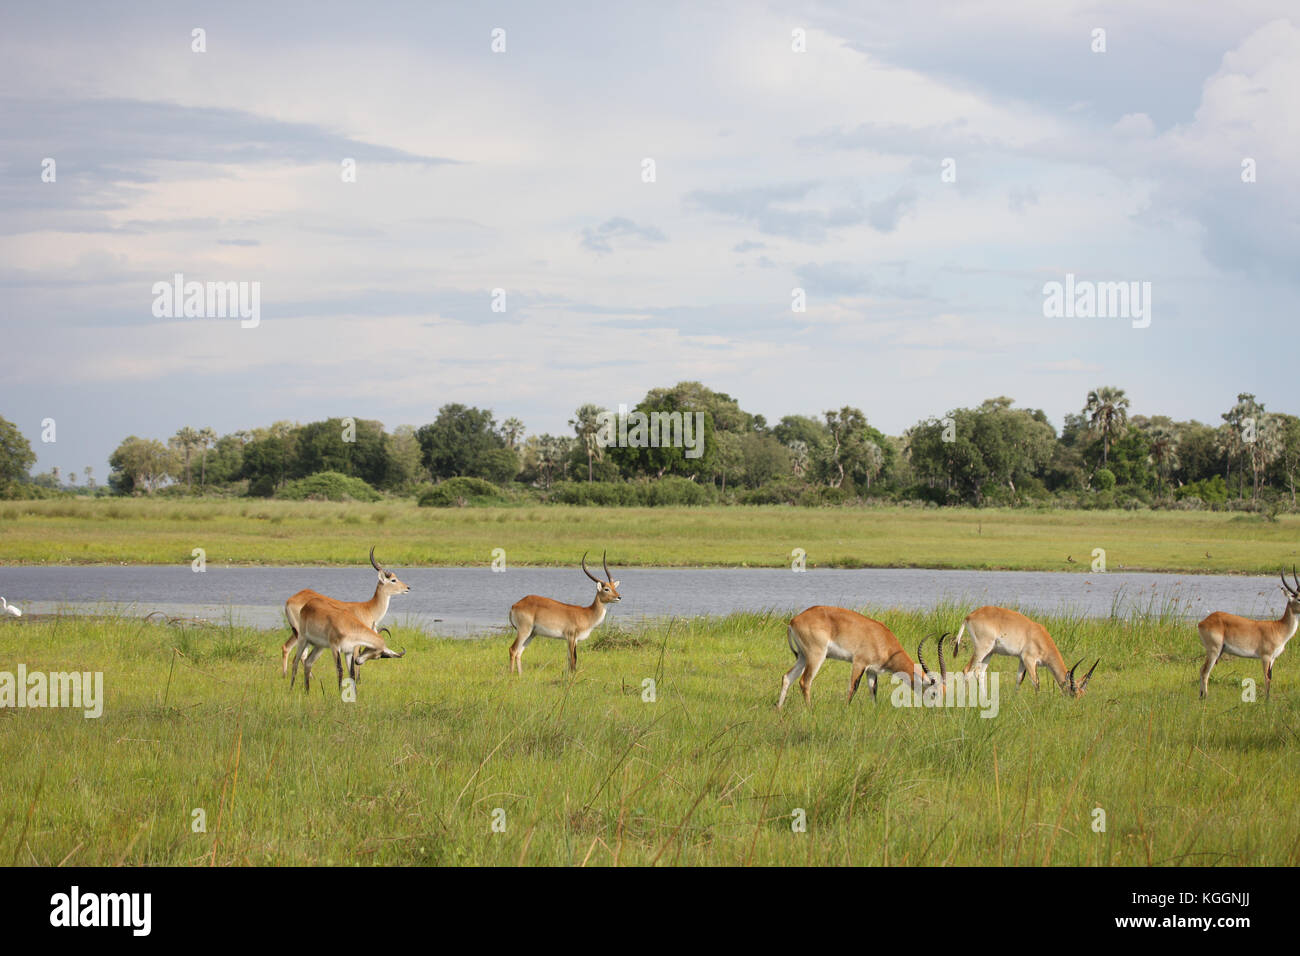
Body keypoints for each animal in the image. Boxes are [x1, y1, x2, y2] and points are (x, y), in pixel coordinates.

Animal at [282, 545, 410, 680]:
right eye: (393, 580)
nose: (408, 588)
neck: (368, 608)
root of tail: (290, 599)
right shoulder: (357, 642)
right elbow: (355, 665)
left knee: (288, 648)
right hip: (302, 635)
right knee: (300, 654)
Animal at [778, 606, 941, 709]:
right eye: (934, 693)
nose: (936, 709)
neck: (883, 639)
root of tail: (794, 620)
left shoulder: (871, 670)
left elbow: (873, 690)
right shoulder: (859, 663)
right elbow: (853, 687)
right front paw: (846, 710)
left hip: (802, 657)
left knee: (787, 677)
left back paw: (778, 709)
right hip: (816, 656)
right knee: (805, 681)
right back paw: (810, 710)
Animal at [951, 606, 1097, 697]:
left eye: (1082, 695)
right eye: (1073, 692)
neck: (1040, 636)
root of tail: (970, 616)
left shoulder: (1021, 659)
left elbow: (1019, 679)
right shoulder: (1029, 659)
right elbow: (1036, 682)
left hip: (990, 652)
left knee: (979, 673)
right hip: (982, 649)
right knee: (967, 670)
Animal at [1197, 568, 1300, 699]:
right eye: (1299, 598)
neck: (1279, 628)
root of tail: (1203, 621)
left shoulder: (1273, 658)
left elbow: (1270, 677)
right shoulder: (1265, 657)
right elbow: (1266, 678)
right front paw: (1267, 700)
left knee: (1202, 669)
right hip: (1214, 651)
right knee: (1205, 672)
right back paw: (1205, 698)